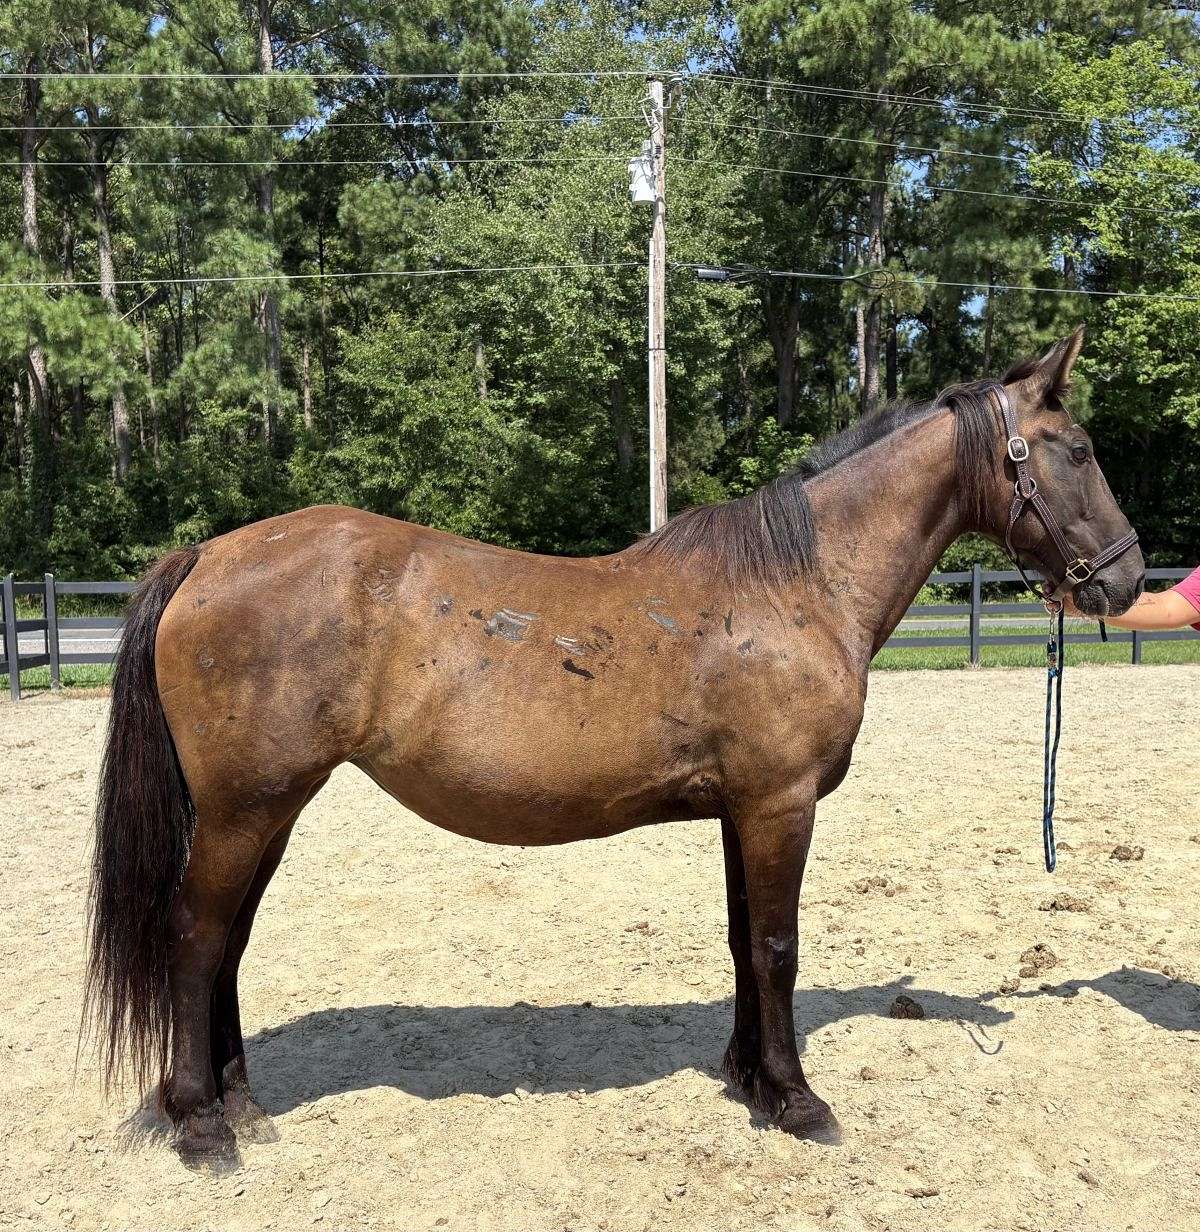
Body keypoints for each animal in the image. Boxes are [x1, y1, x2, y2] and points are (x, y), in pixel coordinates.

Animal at [84, 327, 1144, 1169]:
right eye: (1079, 449)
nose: (1126, 578)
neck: (797, 585)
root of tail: (208, 556)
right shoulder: (781, 804)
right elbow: (778, 947)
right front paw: (799, 1101)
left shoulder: (741, 809)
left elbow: (742, 942)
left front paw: (749, 1081)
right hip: (244, 808)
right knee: (195, 937)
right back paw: (202, 1126)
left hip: (267, 810)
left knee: (226, 943)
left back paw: (239, 1105)